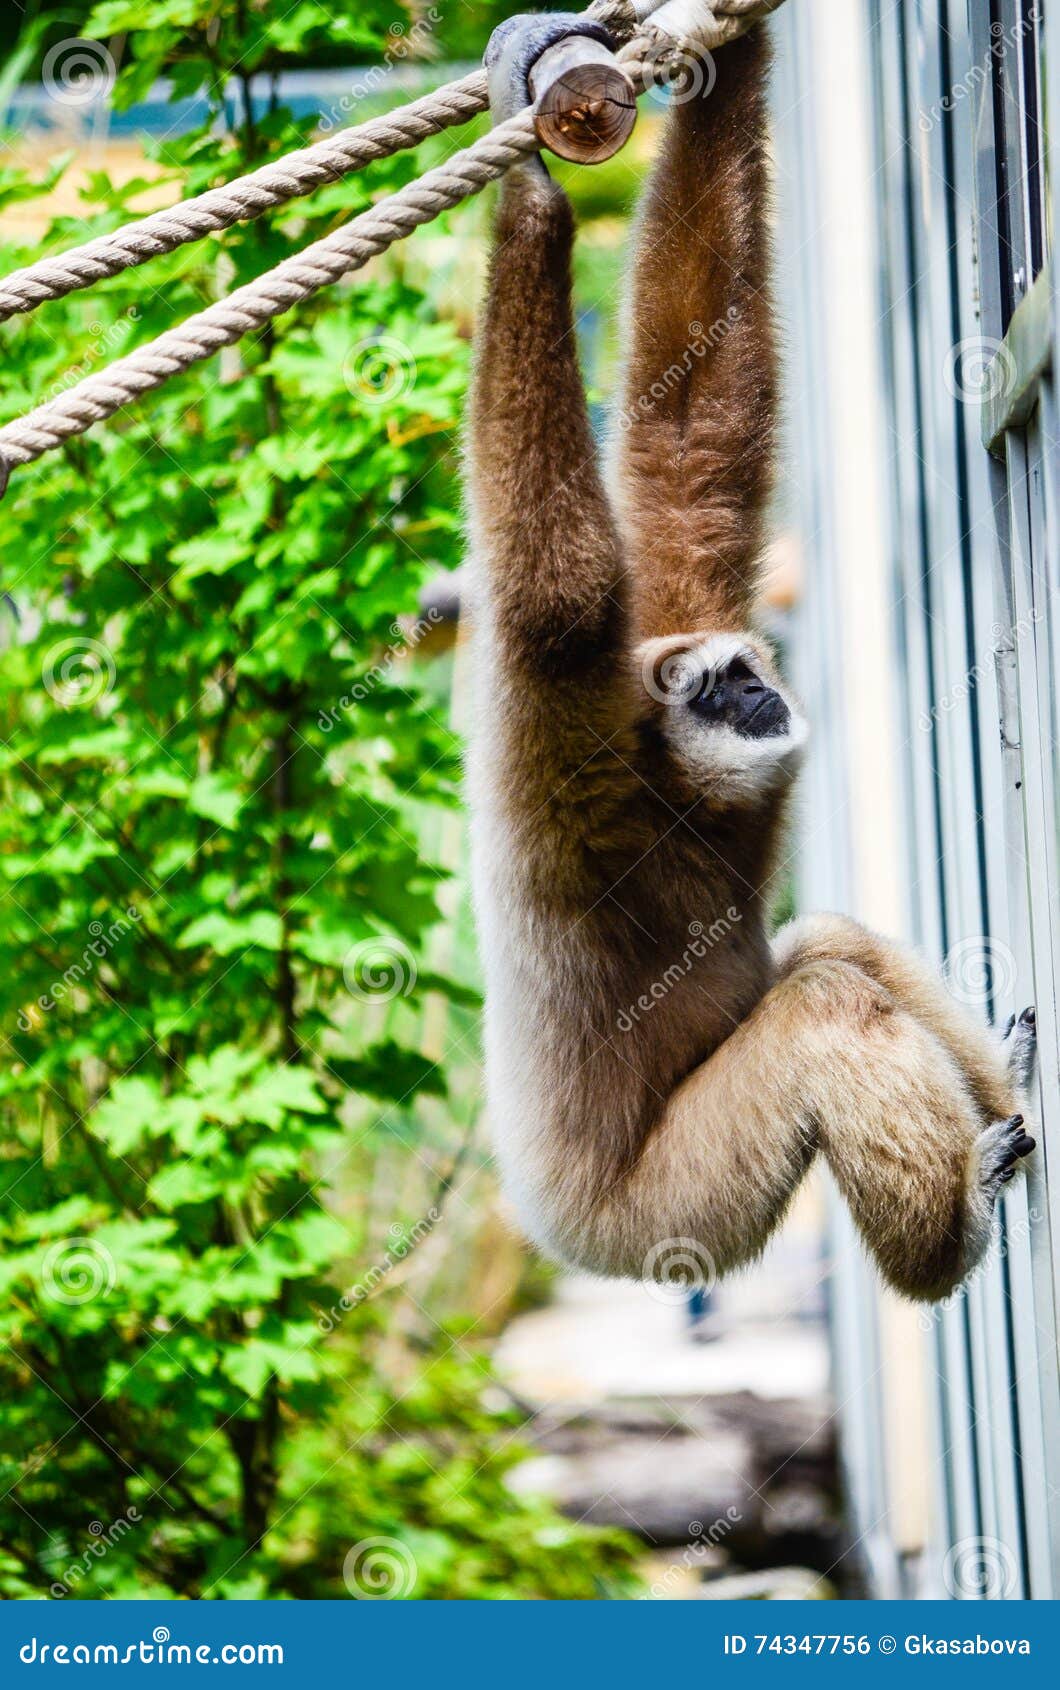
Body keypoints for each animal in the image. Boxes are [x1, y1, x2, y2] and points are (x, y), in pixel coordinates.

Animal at [464, 3, 1037, 1303]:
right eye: (718, 690)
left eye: (746, 672)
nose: (759, 691)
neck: (670, 792)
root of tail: (552, 1222)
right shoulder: (567, 746)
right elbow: (559, 598)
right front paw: (527, 185)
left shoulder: (667, 622)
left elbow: (693, 434)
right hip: (669, 1214)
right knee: (821, 1006)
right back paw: (955, 1235)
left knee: (832, 944)